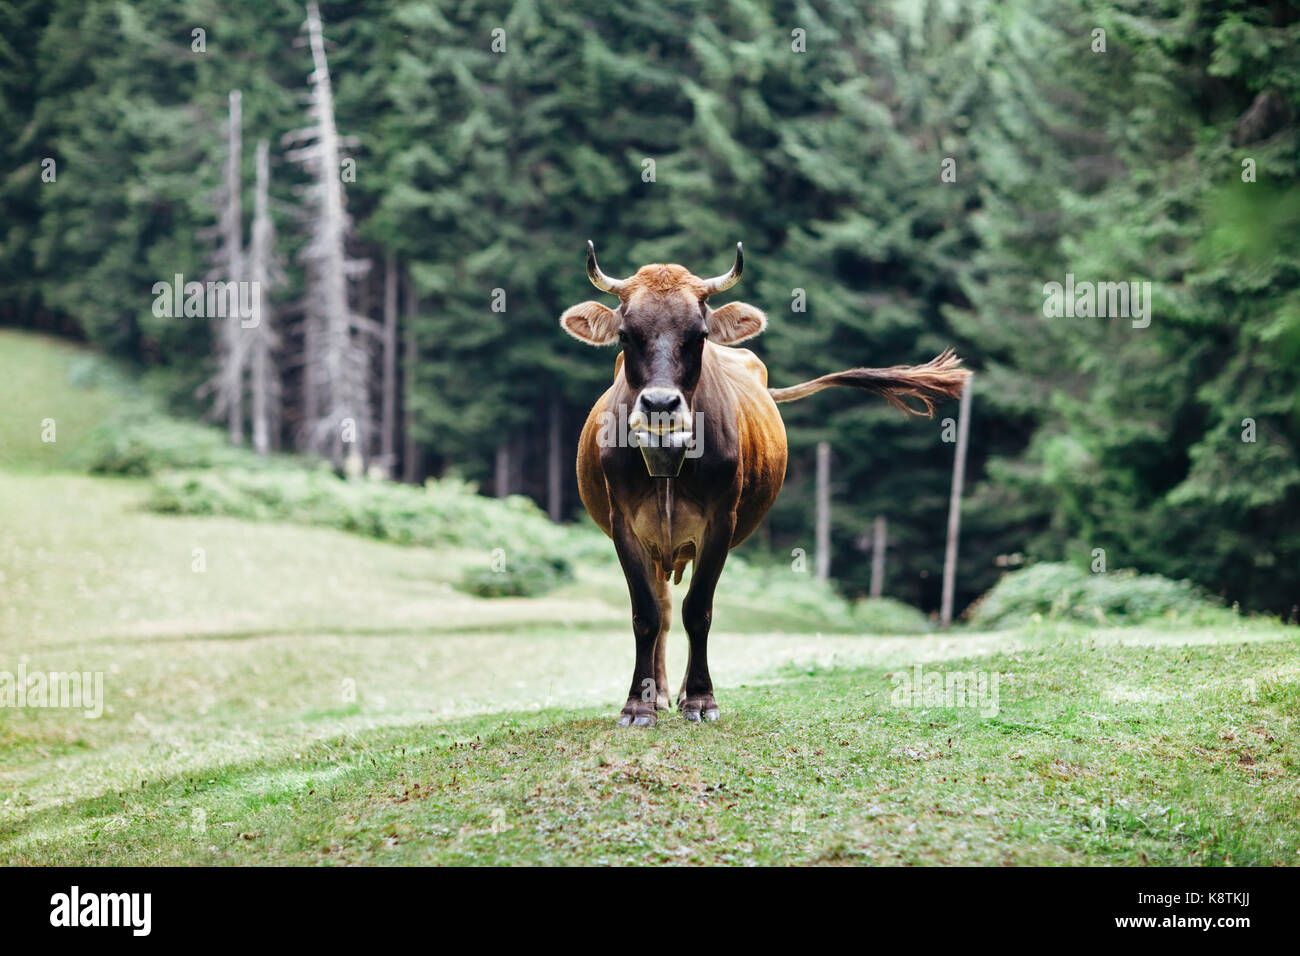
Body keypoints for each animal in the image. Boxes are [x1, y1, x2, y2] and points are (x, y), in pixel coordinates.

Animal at [562, 242, 969, 726]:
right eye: (625, 335)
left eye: (699, 335)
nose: (660, 405)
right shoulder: (623, 523)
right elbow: (646, 613)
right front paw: (638, 704)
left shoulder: (721, 522)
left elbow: (699, 610)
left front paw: (700, 699)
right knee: (662, 608)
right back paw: (658, 692)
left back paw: (678, 693)